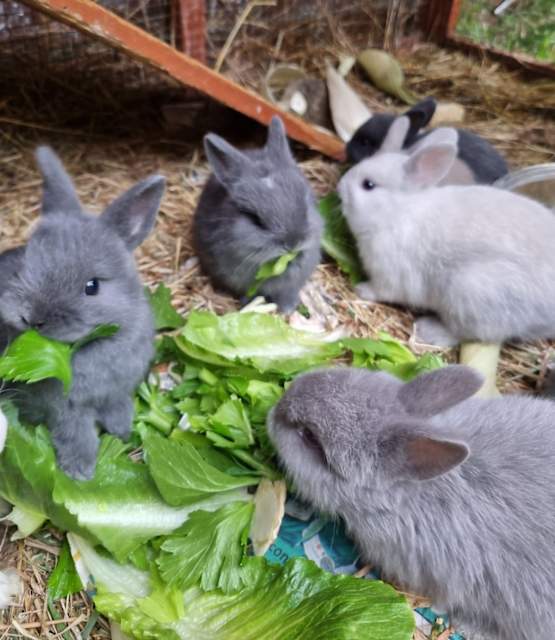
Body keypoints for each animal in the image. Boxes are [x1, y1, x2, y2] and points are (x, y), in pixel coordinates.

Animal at [0, 147, 165, 480]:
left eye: (92, 286)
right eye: (24, 266)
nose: (31, 317)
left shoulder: (118, 389)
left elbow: (118, 406)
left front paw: (122, 430)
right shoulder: (66, 408)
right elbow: (76, 433)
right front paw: (80, 471)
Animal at [338, 127, 555, 347]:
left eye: (368, 184)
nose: (340, 187)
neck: (399, 211)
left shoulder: (390, 275)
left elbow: (382, 290)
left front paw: (361, 289)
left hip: (471, 293)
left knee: (469, 333)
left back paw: (428, 330)